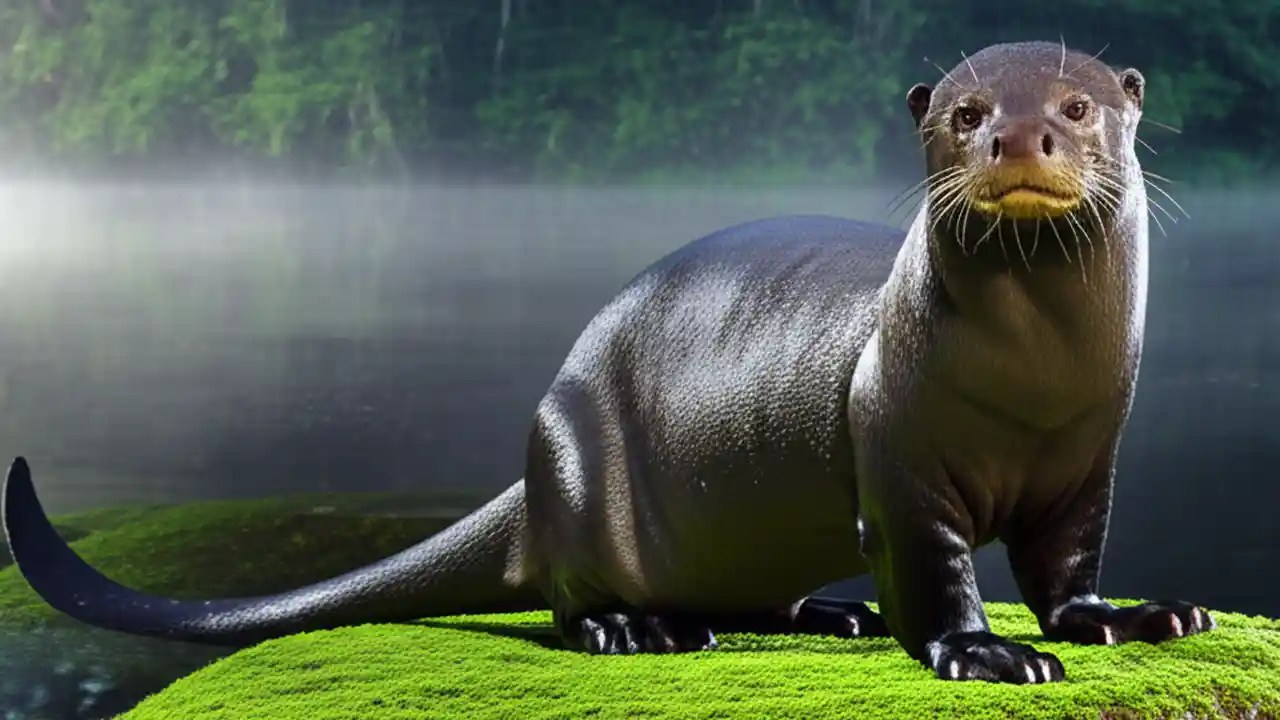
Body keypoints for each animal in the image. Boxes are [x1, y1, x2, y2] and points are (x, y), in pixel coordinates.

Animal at [3, 41, 1214, 684]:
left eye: (1077, 104)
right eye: (964, 113)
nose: (1016, 138)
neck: (1030, 388)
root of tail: (534, 469)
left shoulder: (1088, 458)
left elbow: (1066, 566)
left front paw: (1133, 615)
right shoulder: (897, 451)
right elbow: (931, 568)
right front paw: (986, 652)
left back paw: (824, 614)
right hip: (581, 467)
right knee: (563, 591)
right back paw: (638, 627)